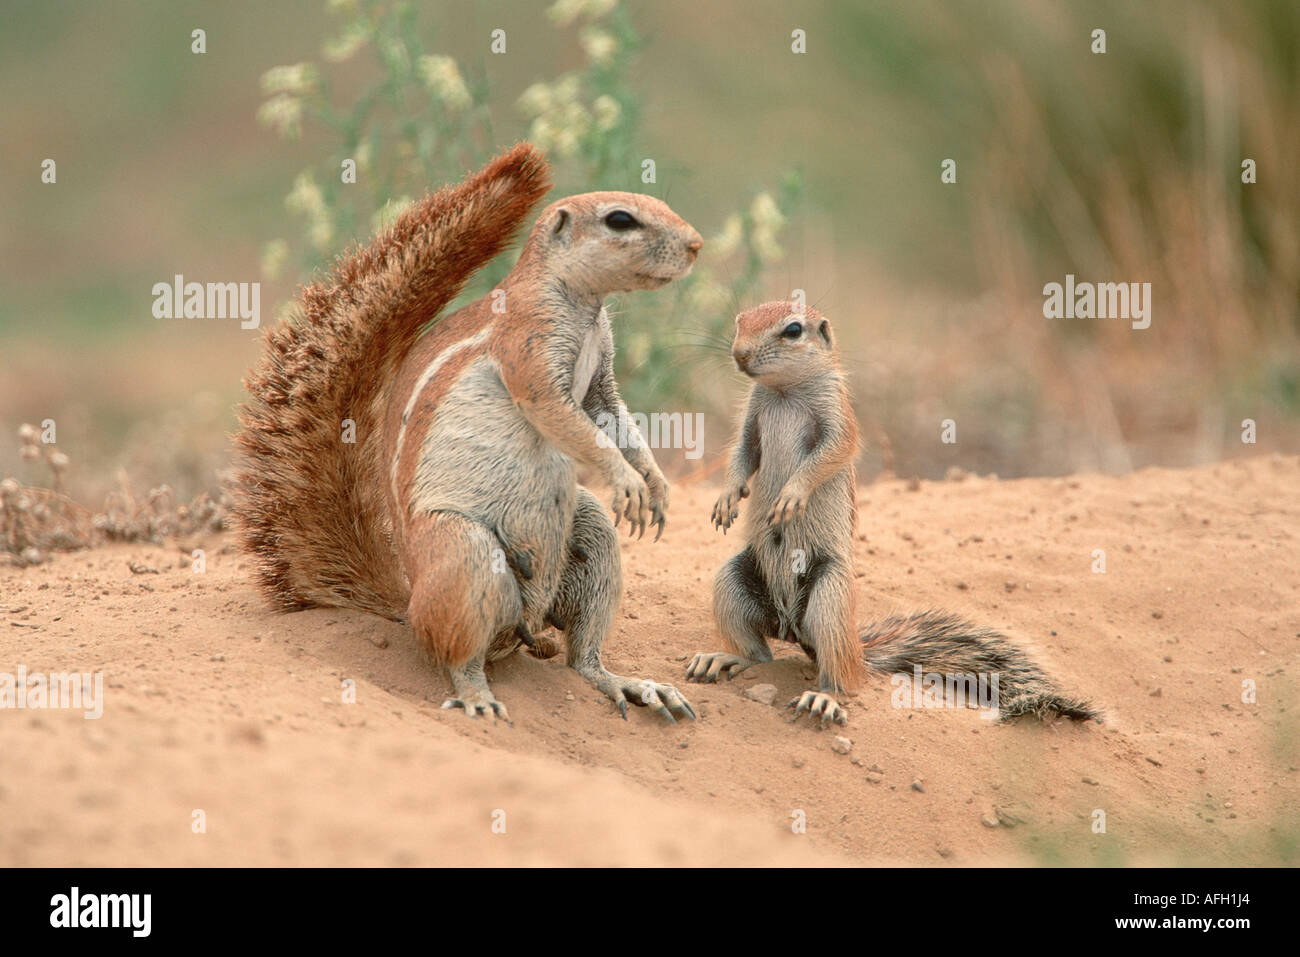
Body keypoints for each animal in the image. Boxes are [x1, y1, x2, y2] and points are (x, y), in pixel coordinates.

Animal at [233, 143, 702, 725]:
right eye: (620, 219)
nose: (696, 245)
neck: (582, 306)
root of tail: (408, 601)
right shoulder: (529, 350)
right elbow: (565, 419)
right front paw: (628, 482)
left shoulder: (601, 379)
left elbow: (615, 417)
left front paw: (655, 485)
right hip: (463, 550)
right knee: (457, 653)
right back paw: (478, 695)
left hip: (588, 529)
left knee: (581, 657)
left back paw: (629, 684)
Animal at [686, 301, 1099, 726]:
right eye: (740, 320)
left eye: (793, 330)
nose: (739, 354)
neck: (783, 391)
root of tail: (793, 631)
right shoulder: (750, 421)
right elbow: (741, 455)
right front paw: (727, 499)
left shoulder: (839, 420)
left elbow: (826, 457)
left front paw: (791, 496)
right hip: (732, 579)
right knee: (761, 654)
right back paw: (724, 659)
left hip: (830, 596)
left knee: (842, 679)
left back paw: (824, 698)